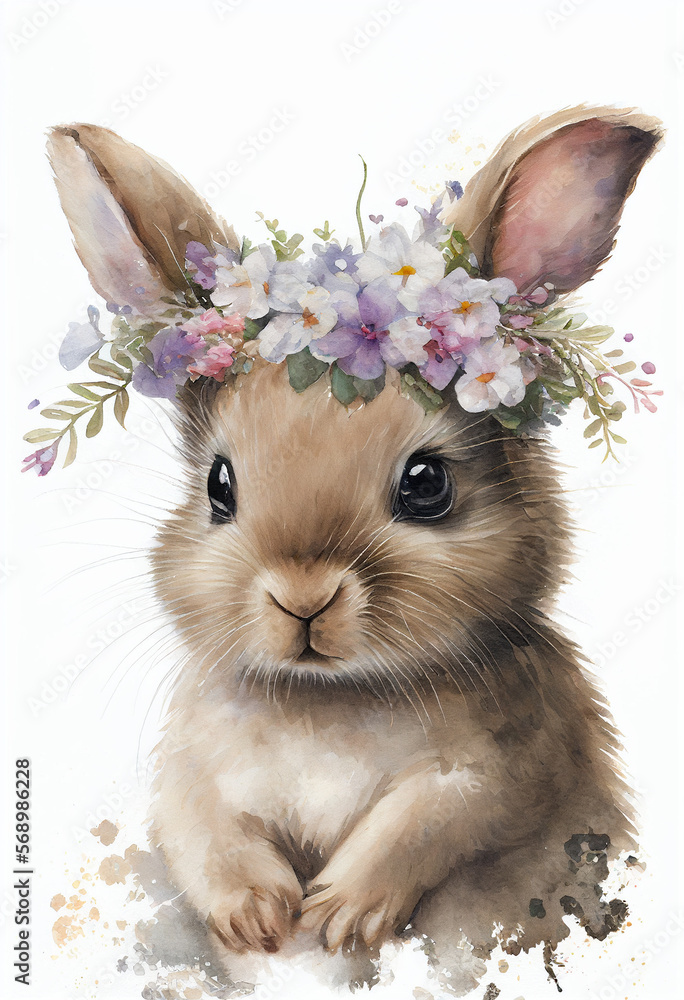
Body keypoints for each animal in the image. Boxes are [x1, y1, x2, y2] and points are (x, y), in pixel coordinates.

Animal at [46, 105, 662, 995]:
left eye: (428, 484)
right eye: (219, 487)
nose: (302, 598)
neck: (330, 699)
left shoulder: (504, 766)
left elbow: (431, 817)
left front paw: (339, 916)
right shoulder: (194, 775)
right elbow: (200, 828)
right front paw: (258, 916)